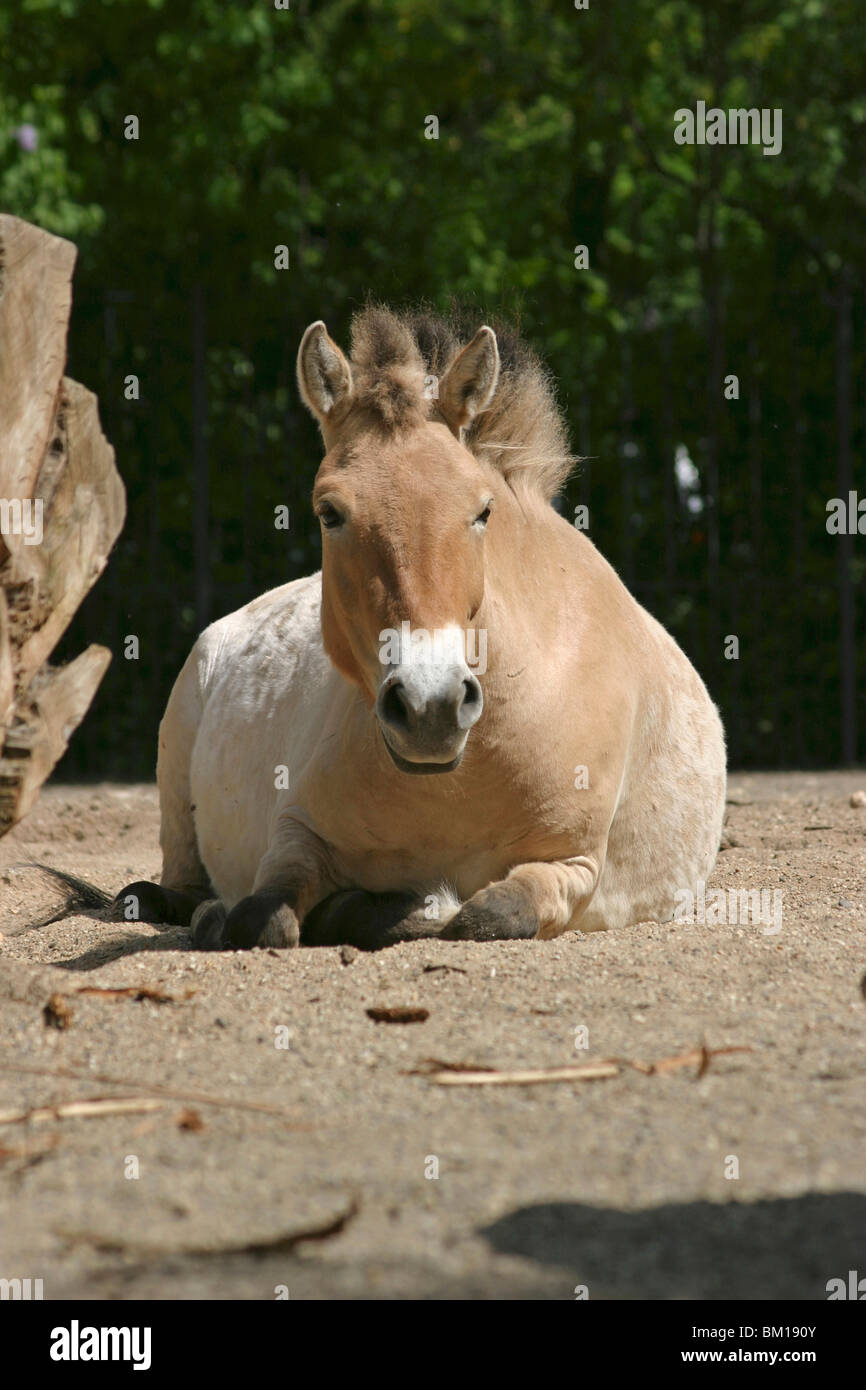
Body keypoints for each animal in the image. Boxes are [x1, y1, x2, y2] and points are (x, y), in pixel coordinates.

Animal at [113, 305, 726, 951]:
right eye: (329, 512)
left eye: (483, 510)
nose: (432, 707)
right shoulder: (296, 836)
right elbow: (260, 917)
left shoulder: (573, 864)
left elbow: (484, 915)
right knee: (171, 886)